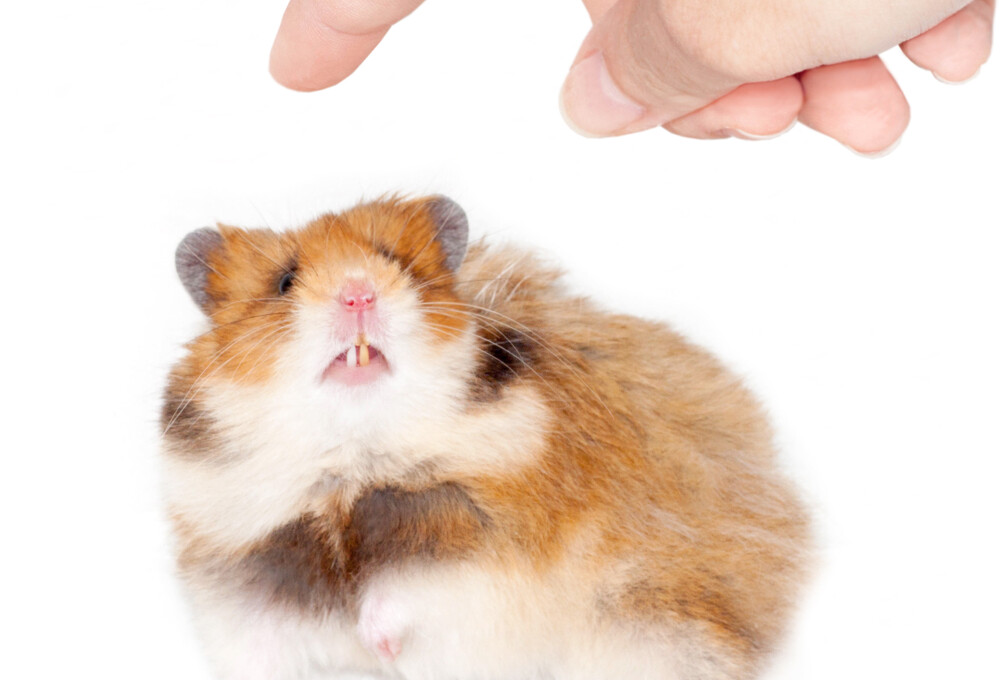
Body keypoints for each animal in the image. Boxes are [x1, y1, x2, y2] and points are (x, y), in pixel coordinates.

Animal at [161, 195, 811, 680]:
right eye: (285, 280)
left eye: (394, 260)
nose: (358, 293)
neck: (353, 462)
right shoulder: (242, 581)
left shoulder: (491, 552)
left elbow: (407, 592)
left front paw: (377, 644)